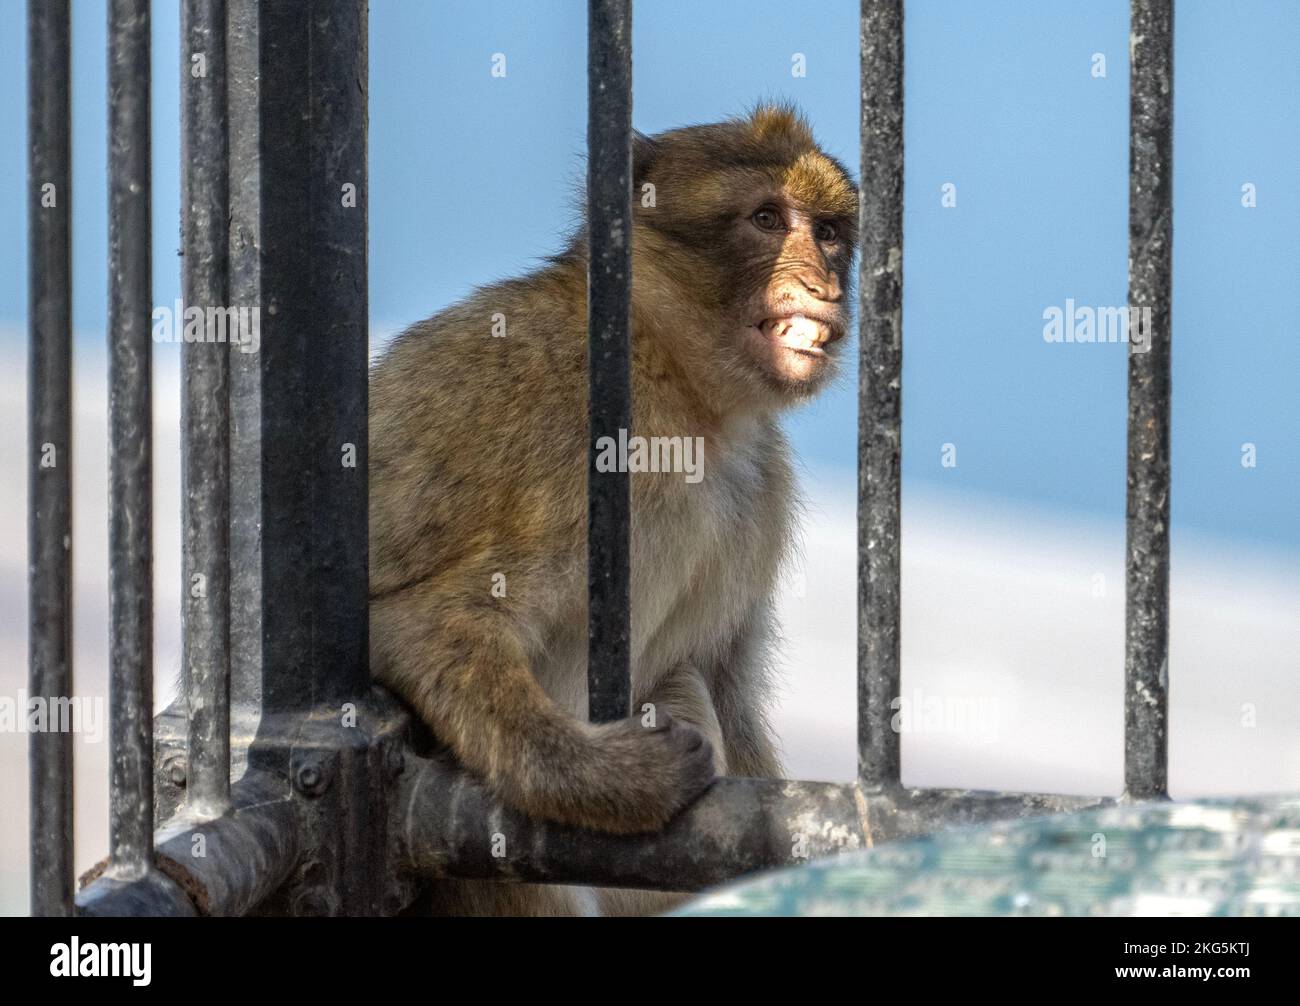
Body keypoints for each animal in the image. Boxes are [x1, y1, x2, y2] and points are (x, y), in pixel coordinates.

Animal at [368, 105, 858, 916]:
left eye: (826, 233)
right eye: (766, 219)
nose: (826, 284)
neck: (678, 383)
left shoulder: (760, 490)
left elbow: (721, 677)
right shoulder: (583, 449)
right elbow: (421, 622)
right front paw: (623, 783)